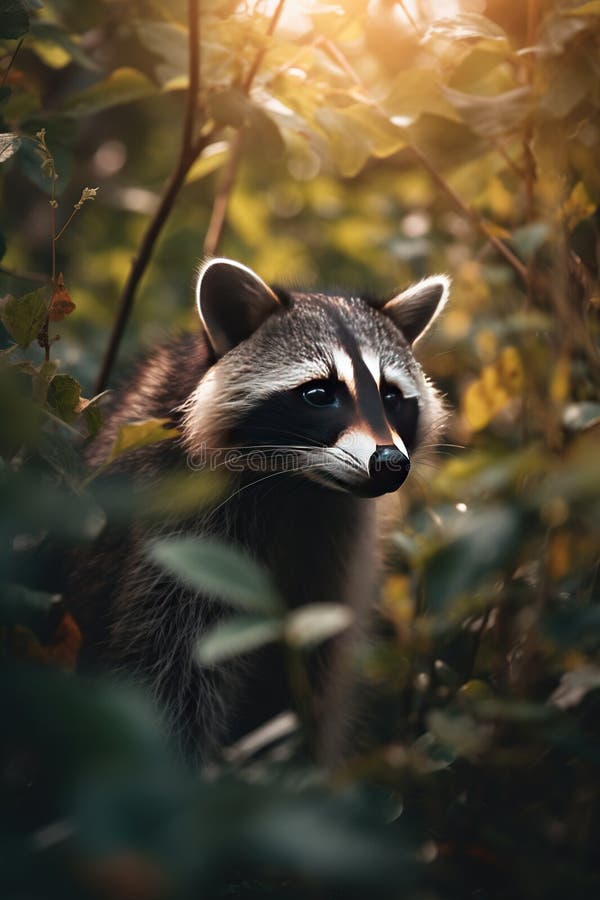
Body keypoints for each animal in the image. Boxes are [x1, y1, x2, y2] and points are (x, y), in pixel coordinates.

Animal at [69, 258, 449, 764]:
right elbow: (167, 670)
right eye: (319, 394)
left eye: (390, 397)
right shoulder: (181, 527)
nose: (390, 462)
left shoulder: (335, 550)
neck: (299, 486)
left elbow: (311, 681)